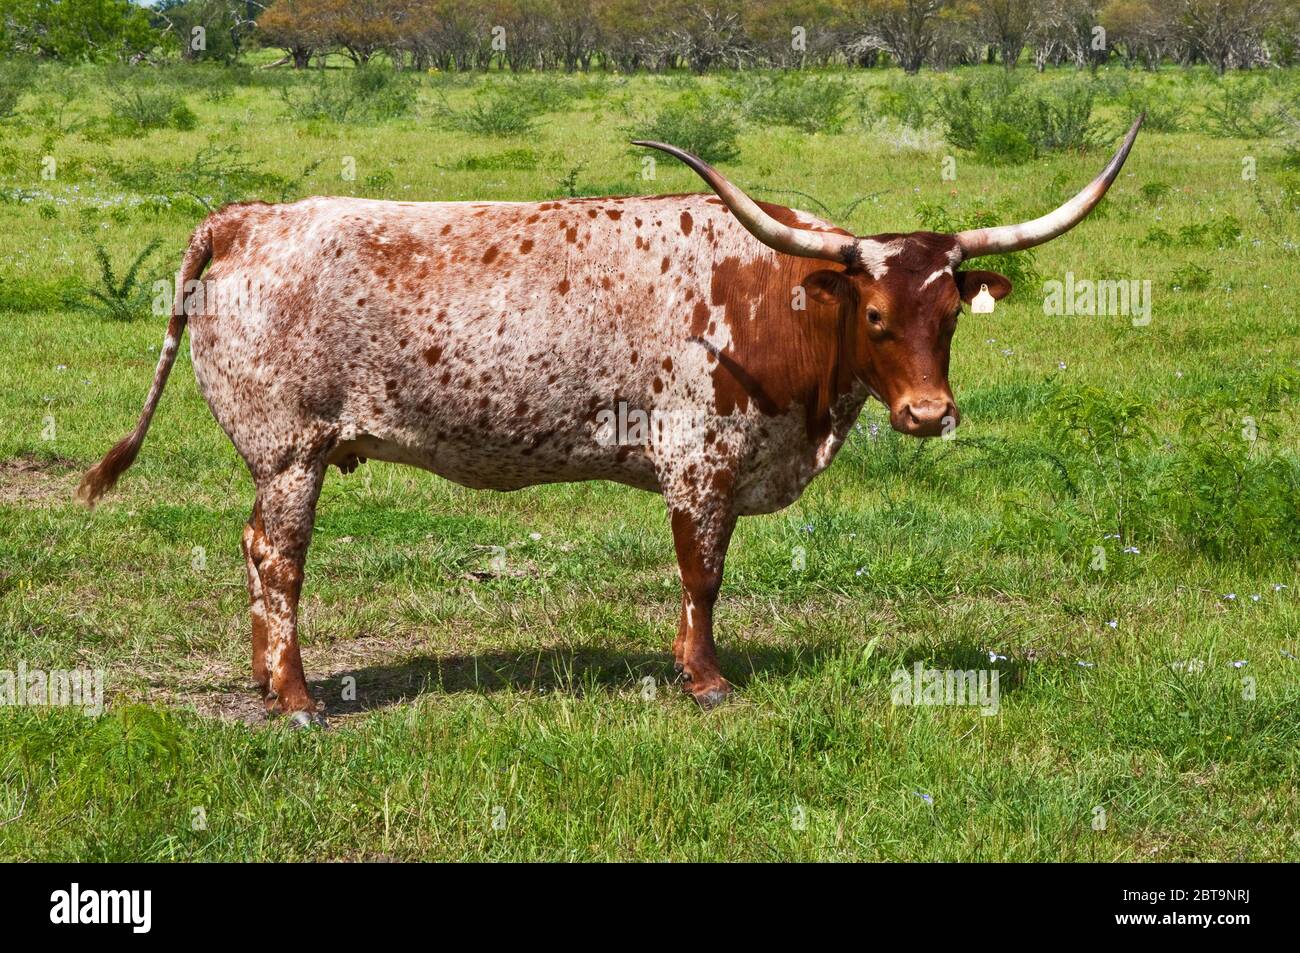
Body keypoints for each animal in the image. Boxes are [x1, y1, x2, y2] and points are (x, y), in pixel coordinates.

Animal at [78, 116, 1143, 726]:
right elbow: (703, 574)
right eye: (875, 315)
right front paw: (705, 679)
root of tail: (249, 218)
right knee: (277, 558)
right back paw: (296, 699)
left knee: (254, 550)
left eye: (950, 314)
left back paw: (269, 684)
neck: (778, 297)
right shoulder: (701, 462)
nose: (929, 413)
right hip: (290, 452)